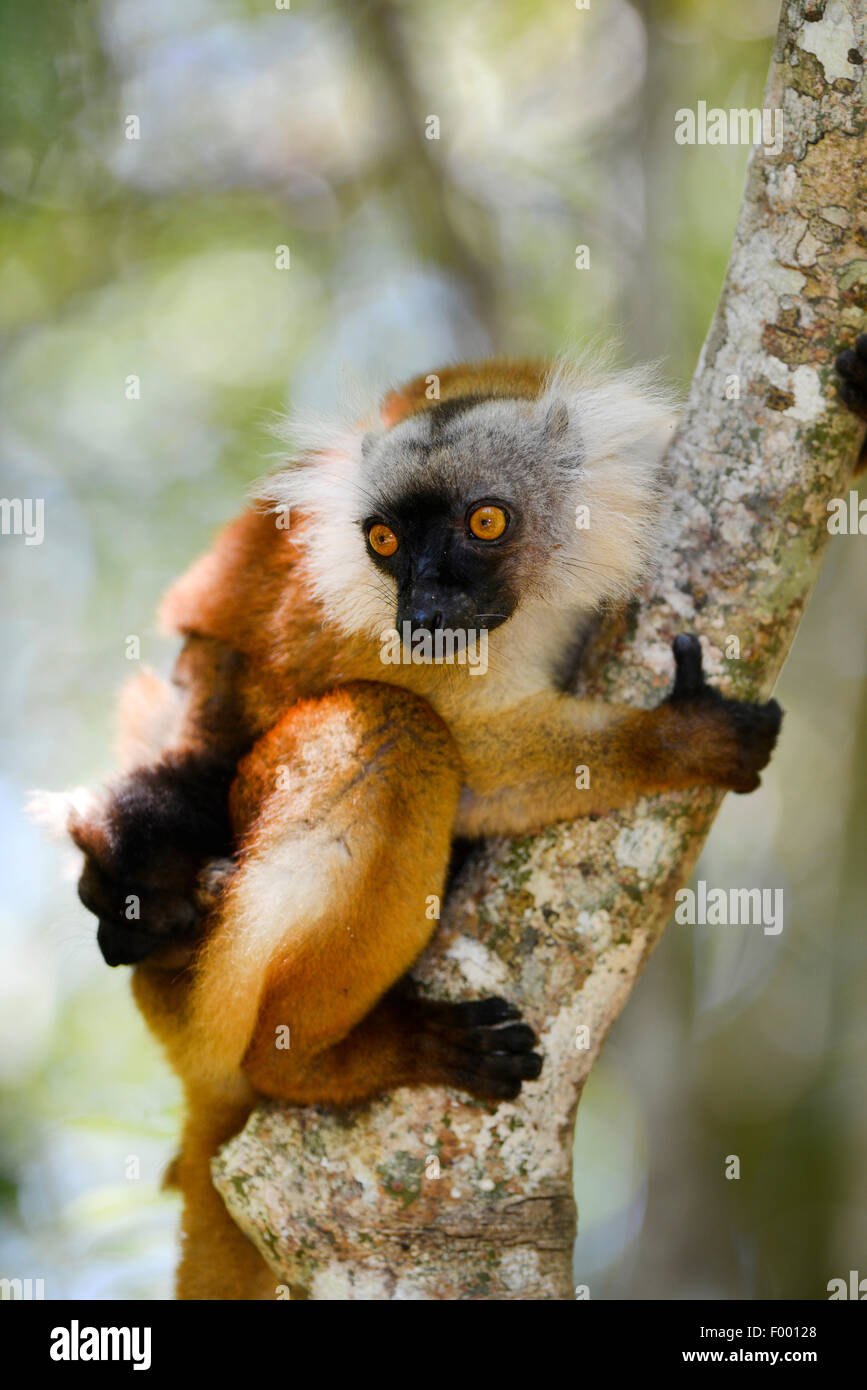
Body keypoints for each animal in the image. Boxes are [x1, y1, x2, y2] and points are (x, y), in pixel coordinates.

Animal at [48, 339, 867, 1299]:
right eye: (385, 542)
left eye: (485, 524)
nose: (426, 611)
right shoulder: (364, 628)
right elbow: (465, 761)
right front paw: (673, 740)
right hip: (207, 993)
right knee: (396, 736)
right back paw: (321, 1059)